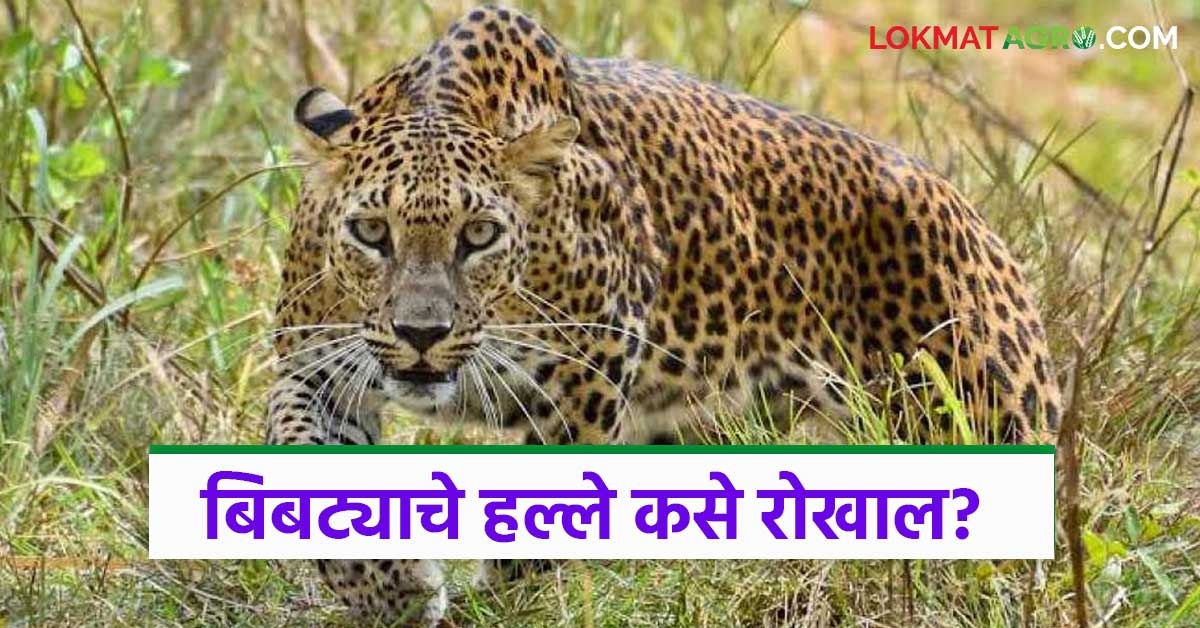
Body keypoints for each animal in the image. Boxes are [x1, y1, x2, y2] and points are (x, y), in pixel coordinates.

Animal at [264, 5, 1061, 622]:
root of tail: (974, 214)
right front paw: (393, 593)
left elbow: (536, 535)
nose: (421, 335)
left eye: (480, 235)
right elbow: (301, 453)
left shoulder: (586, 380)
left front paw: (497, 610)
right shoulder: (314, 364)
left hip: (983, 413)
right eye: (372, 232)